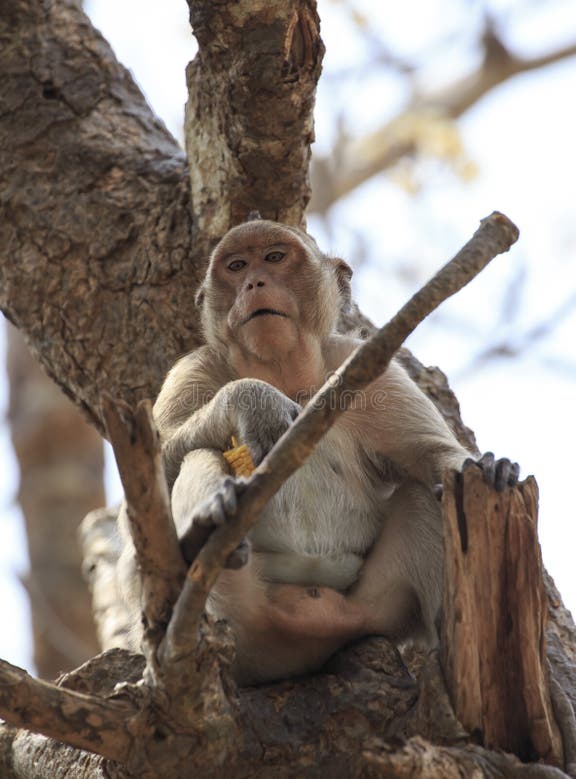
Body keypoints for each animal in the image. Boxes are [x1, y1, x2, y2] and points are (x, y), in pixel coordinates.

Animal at [117, 219, 519, 685]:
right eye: (236, 267)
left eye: (274, 258)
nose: (254, 283)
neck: (284, 374)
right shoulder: (193, 369)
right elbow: (146, 489)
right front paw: (254, 401)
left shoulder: (365, 365)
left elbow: (430, 456)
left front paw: (485, 465)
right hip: (235, 623)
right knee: (198, 456)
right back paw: (202, 533)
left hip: (372, 611)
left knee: (428, 494)